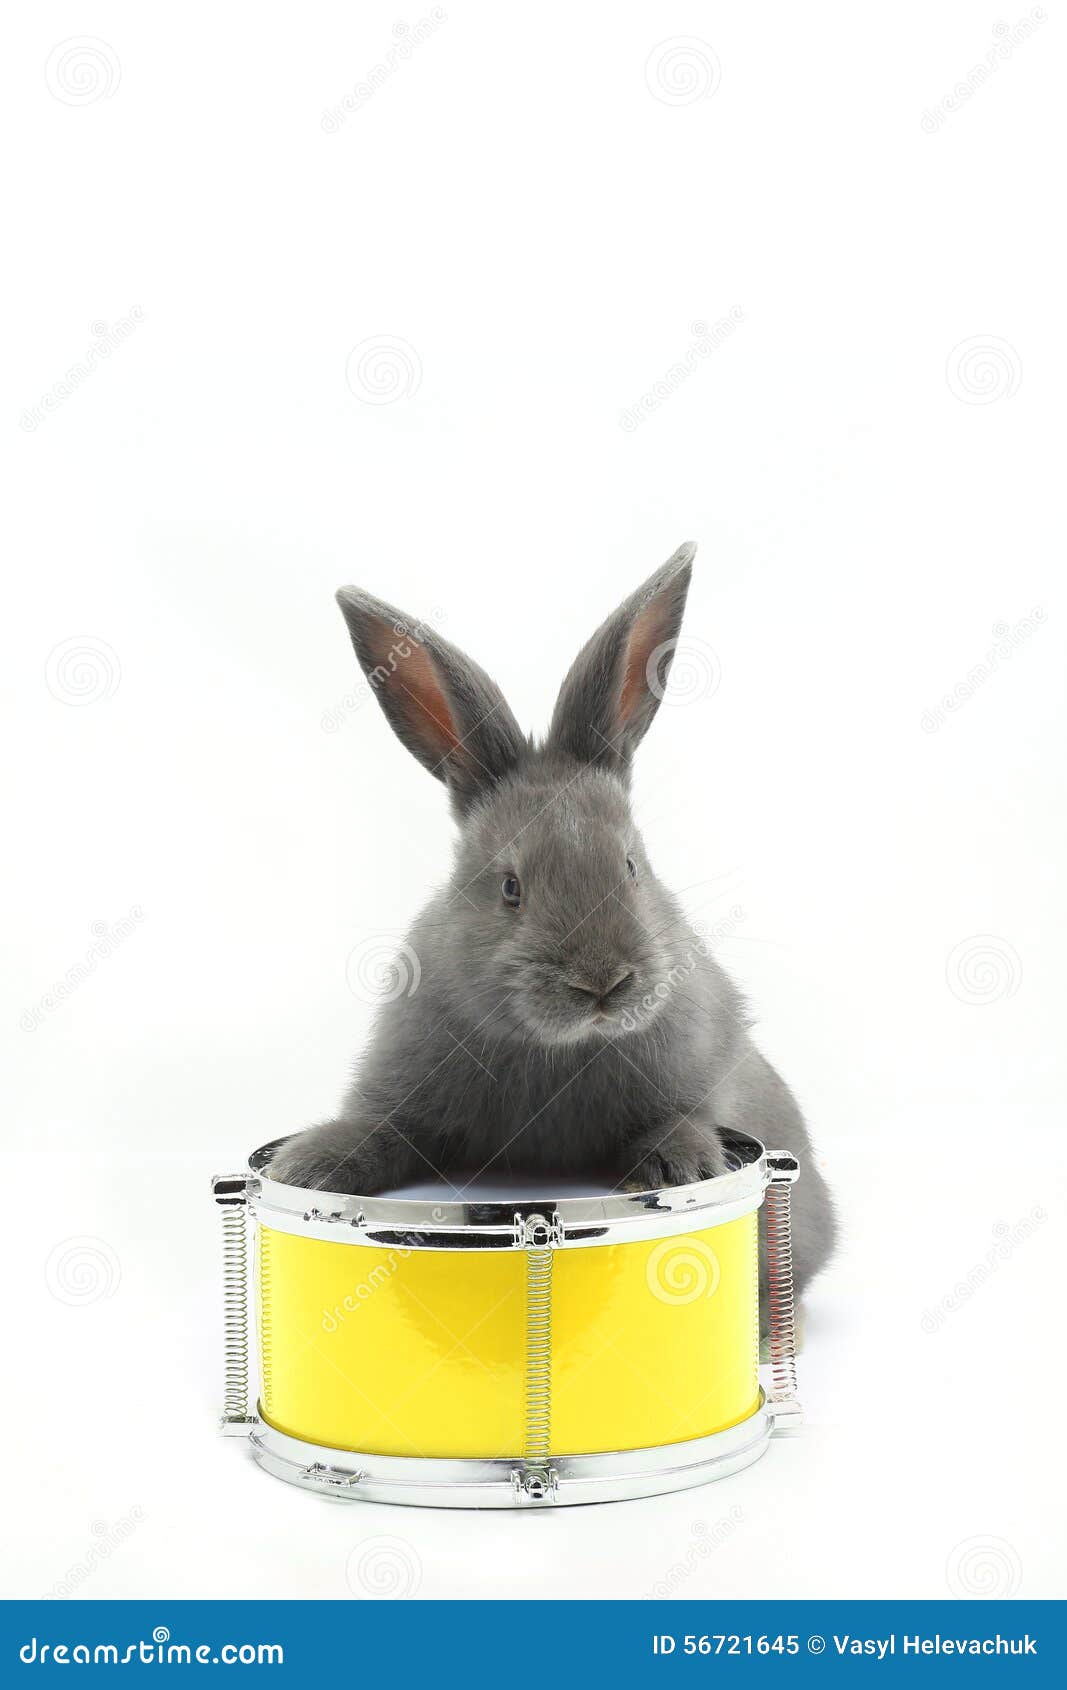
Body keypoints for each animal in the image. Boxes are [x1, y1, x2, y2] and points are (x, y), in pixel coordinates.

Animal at [269, 543, 837, 1310]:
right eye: (510, 887)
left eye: (631, 866)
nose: (602, 982)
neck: (557, 1051)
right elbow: (377, 1129)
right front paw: (308, 1166)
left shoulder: (703, 1074)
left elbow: (685, 1117)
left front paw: (683, 1167)